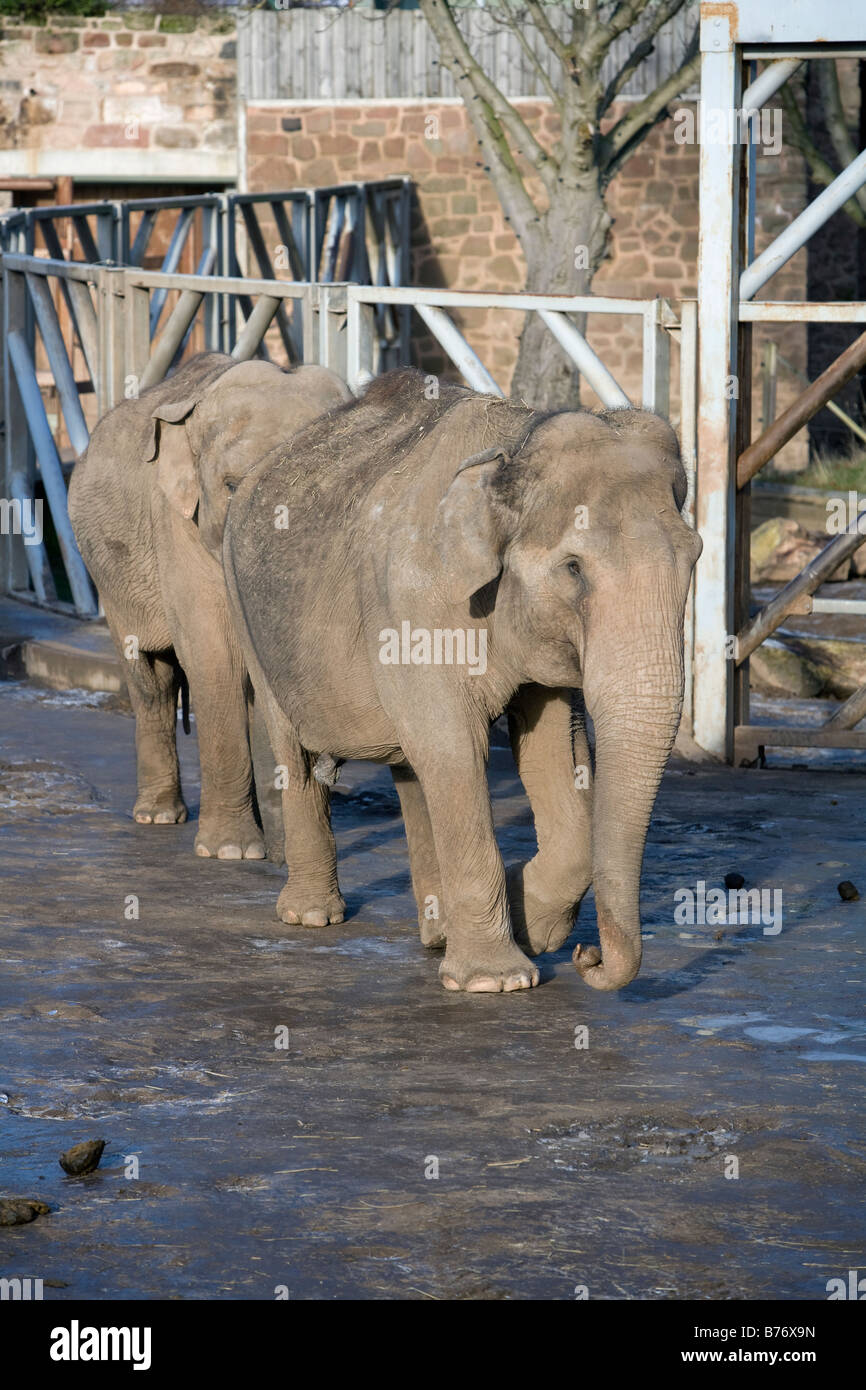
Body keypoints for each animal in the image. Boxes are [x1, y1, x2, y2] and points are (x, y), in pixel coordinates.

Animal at [68, 352, 352, 859]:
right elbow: (214, 654)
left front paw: (280, 852)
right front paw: (231, 852)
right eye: (232, 487)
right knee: (151, 677)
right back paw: (158, 816)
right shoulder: (178, 524)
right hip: (110, 576)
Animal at [223, 367, 702, 992]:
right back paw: (311, 916)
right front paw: (496, 981)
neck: (516, 443)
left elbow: (554, 749)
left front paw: (529, 924)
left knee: (411, 765)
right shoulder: (413, 600)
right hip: (245, 606)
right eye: (573, 568)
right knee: (296, 749)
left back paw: (438, 933)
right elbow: (456, 745)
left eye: (695, 558)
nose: (589, 956)